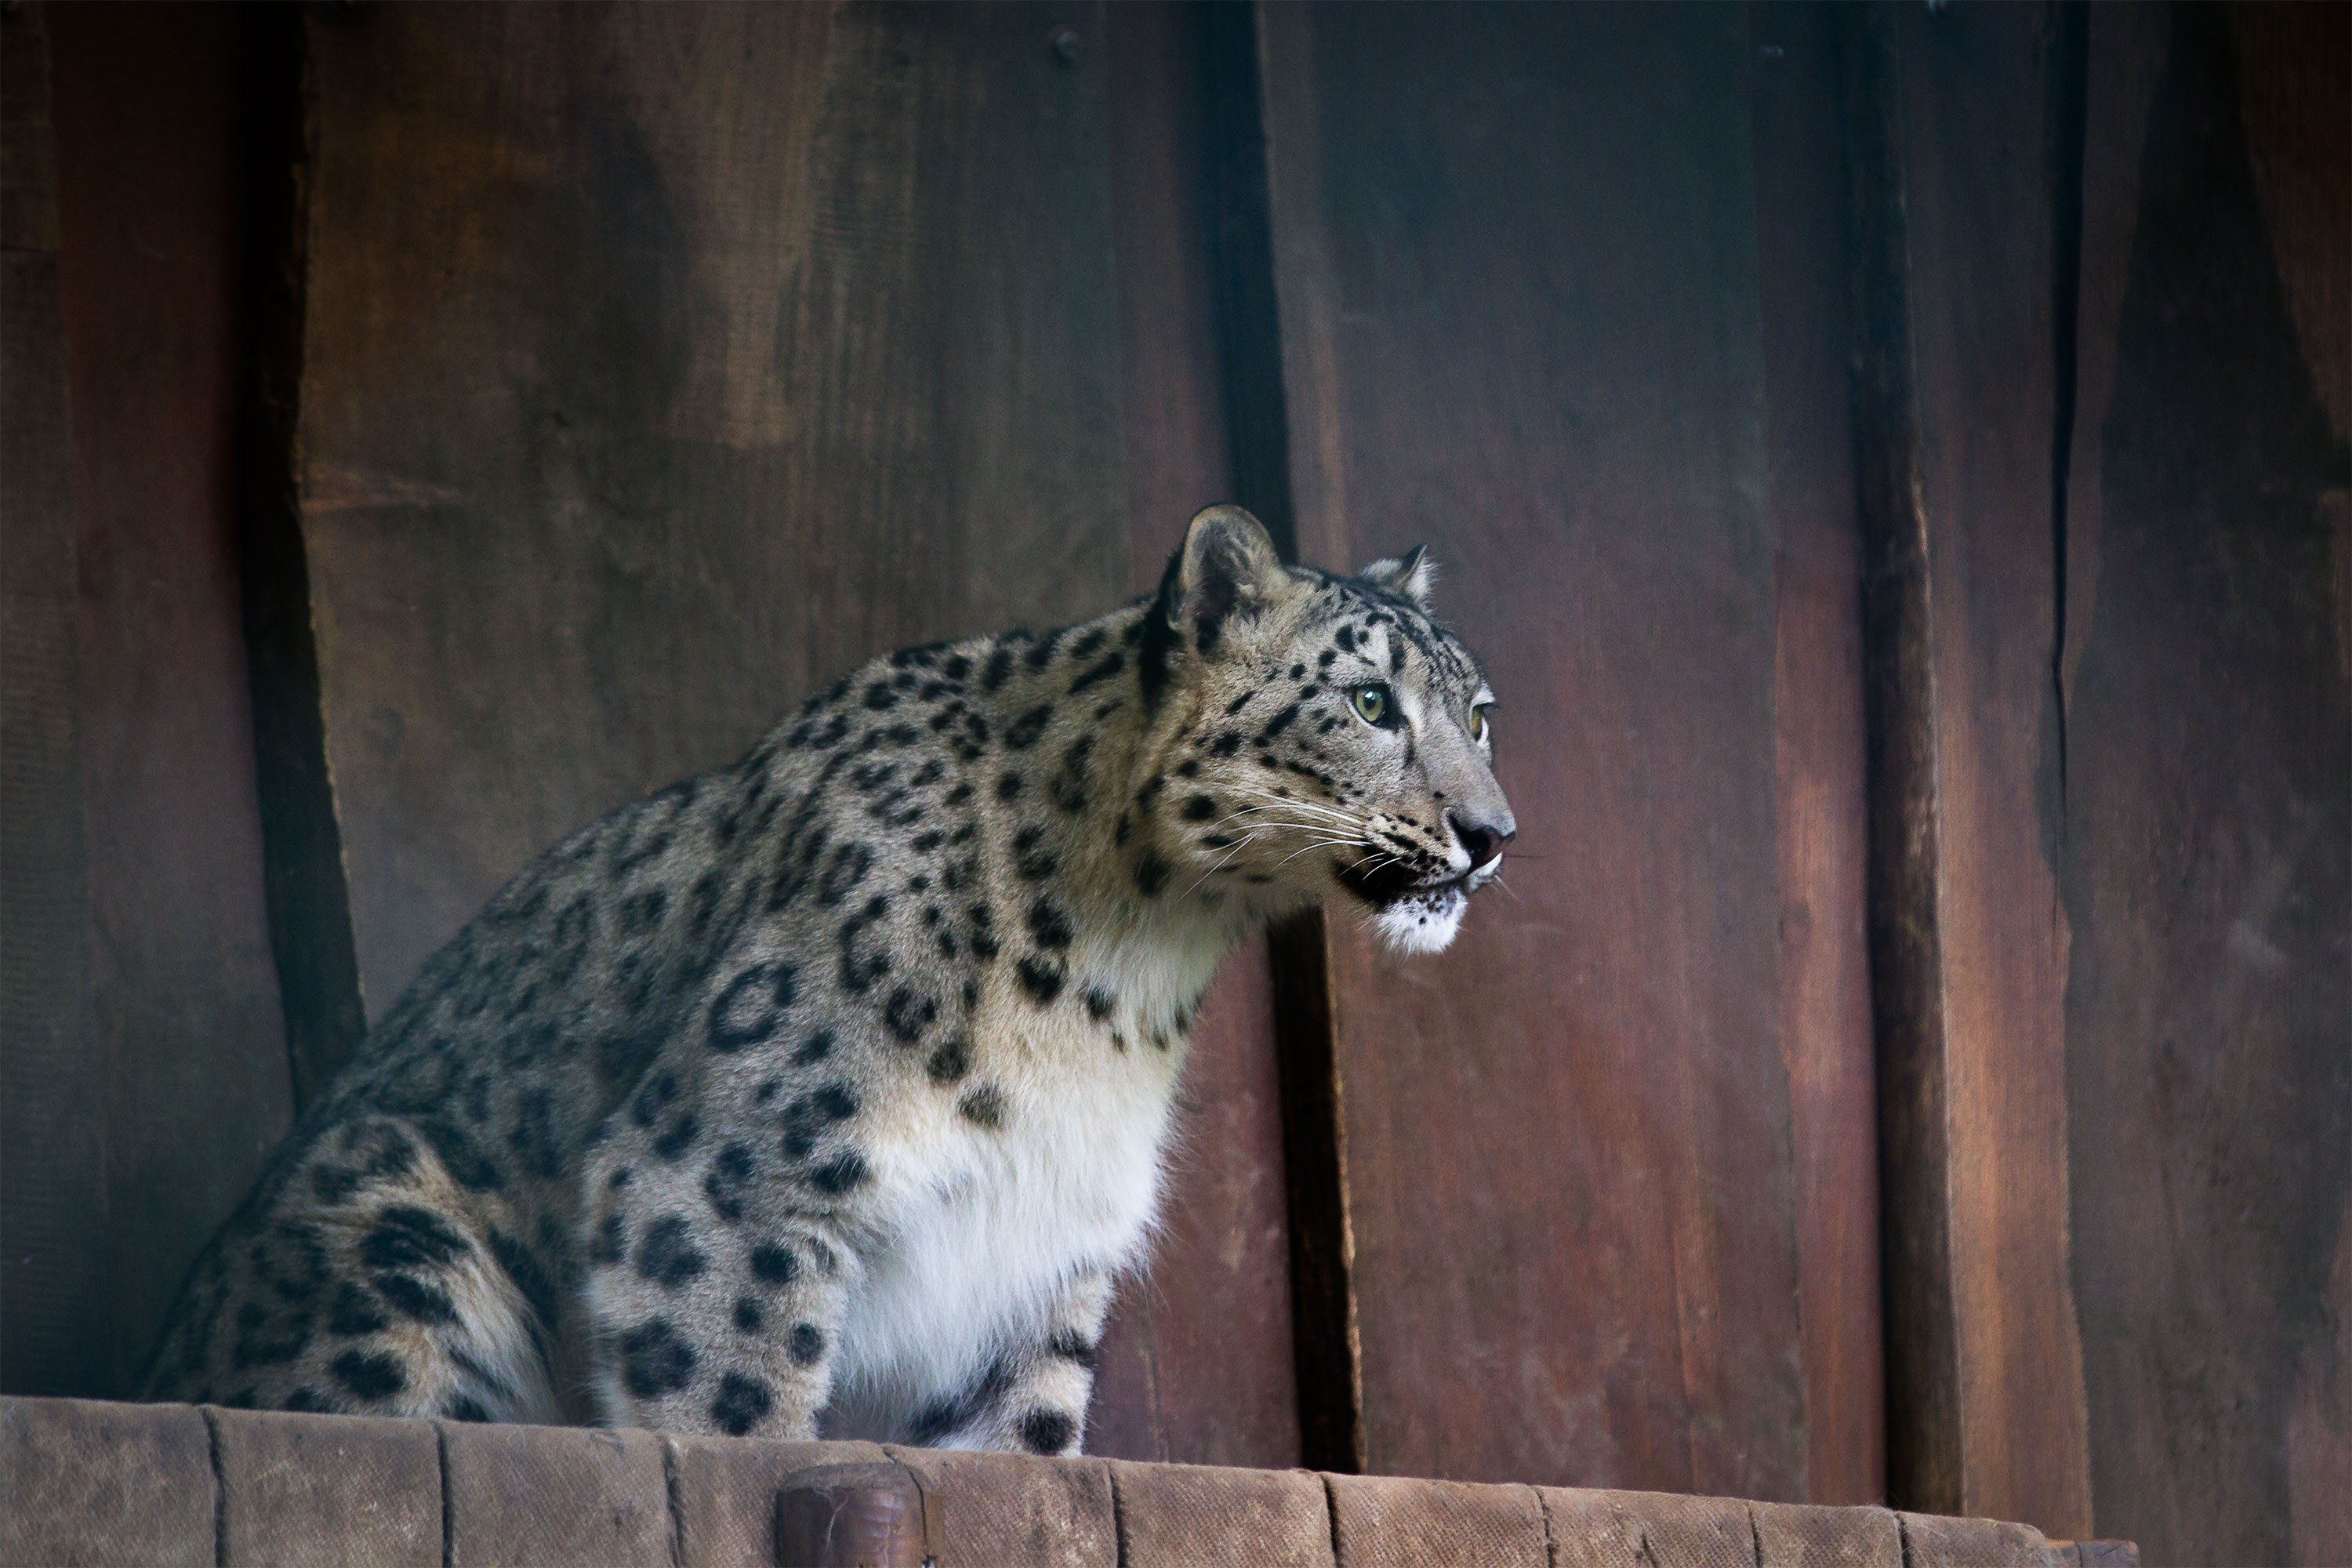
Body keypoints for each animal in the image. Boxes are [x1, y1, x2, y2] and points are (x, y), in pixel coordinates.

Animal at [138, 505, 1515, 1452]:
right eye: (1371, 701)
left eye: (1479, 713)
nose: (1492, 833)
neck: (1136, 972)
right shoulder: (723, 1174)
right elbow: (730, 1401)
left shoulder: (1040, 1257)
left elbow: (1019, 1441)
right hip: (392, 1232)